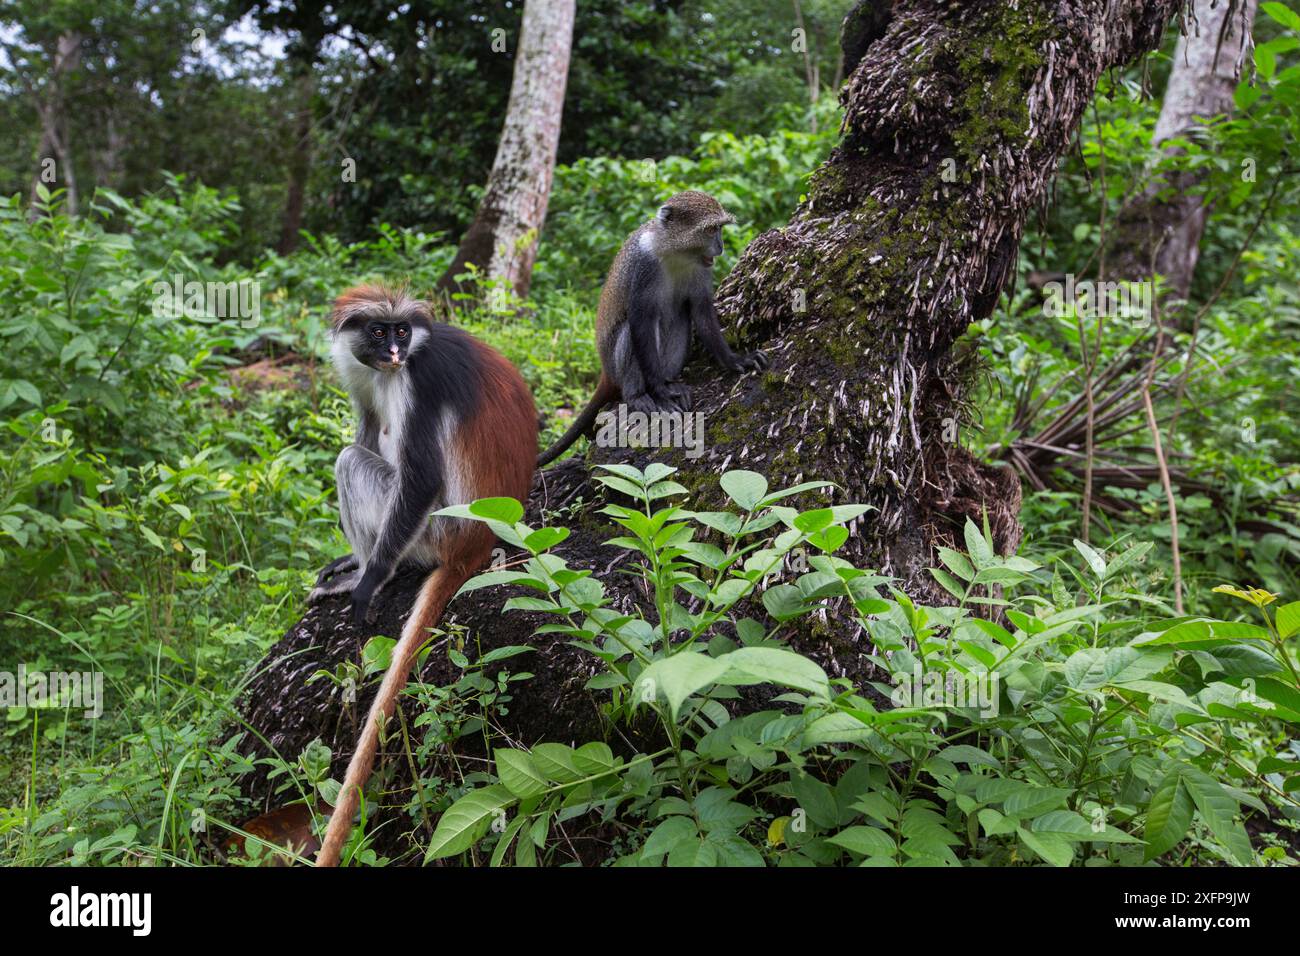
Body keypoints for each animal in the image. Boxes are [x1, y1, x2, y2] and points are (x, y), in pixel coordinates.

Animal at [308, 284, 537, 867]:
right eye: (379, 332)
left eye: (401, 332)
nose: (393, 352)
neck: (397, 366)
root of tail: (474, 543)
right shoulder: (364, 372)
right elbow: (368, 424)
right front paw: (354, 563)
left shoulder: (421, 377)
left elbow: (422, 474)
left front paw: (369, 577)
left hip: (433, 531)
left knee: (353, 461)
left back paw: (373, 570)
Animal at [536, 190, 767, 468]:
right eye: (711, 229)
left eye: (720, 228)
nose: (720, 246)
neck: (674, 250)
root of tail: (606, 373)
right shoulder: (644, 266)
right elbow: (641, 321)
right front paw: (661, 391)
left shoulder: (702, 268)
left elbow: (701, 313)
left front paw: (736, 360)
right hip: (618, 365)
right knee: (630, 332)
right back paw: (638, 394)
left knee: (681, 317)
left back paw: (670, 380)